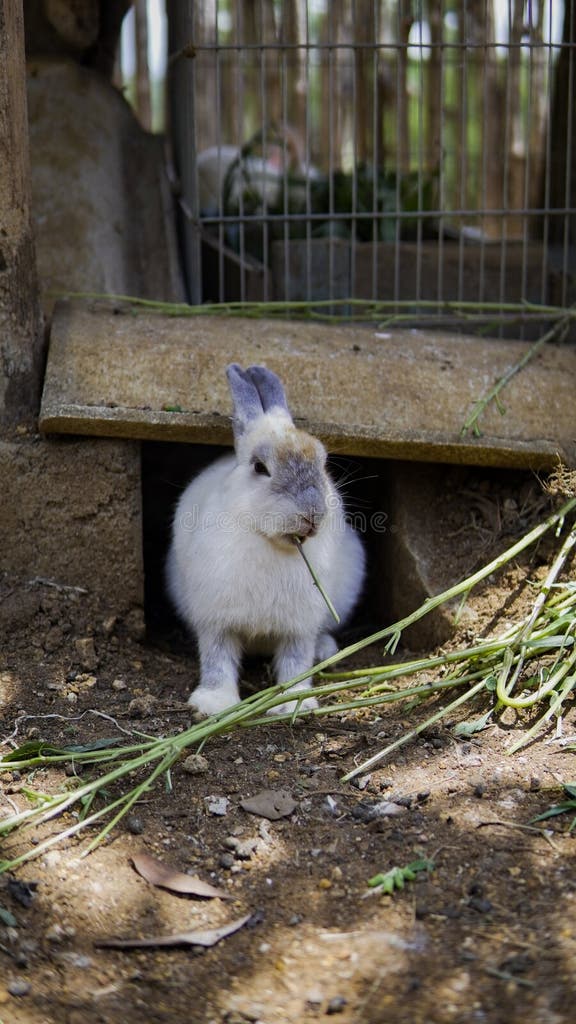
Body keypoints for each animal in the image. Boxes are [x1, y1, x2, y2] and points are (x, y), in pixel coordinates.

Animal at [166, 363, 365, 717]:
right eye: (260, 467)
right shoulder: (216, 621)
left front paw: (294, 703)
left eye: (322, 462)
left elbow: (296, 663)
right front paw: (214, 704)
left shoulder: (299, 627)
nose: (312, 512)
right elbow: (217, 661)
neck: (269, 540)